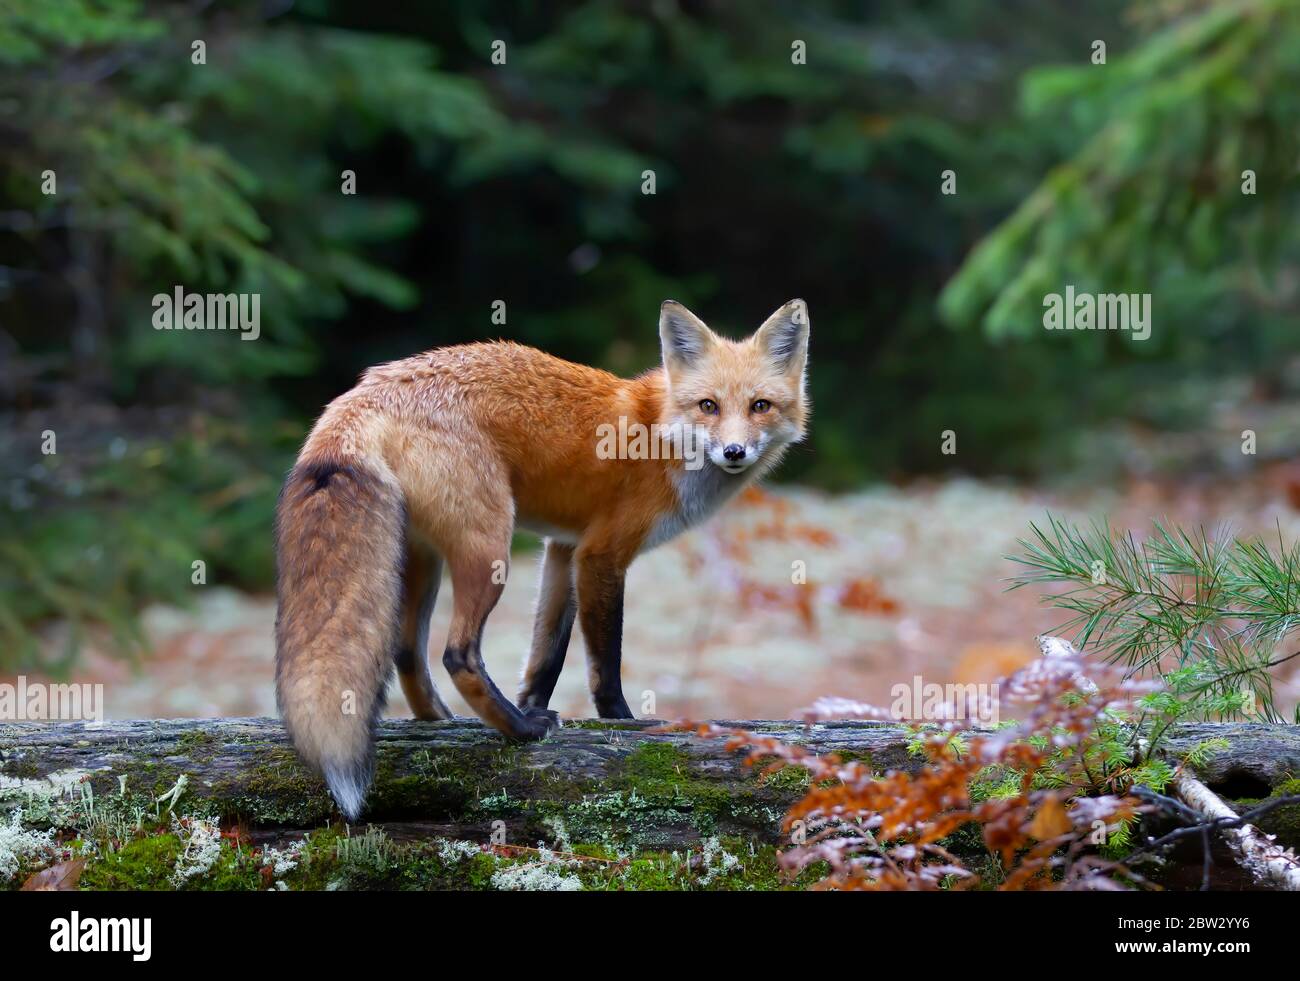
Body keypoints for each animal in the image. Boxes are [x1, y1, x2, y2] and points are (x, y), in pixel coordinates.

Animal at [274, 298, 810, 819]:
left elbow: (546, 655)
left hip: (424, 559)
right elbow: (604, 664)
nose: (735, 451)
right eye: (709, 406)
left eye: (760, 406)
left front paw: (531, 703)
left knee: (407, 654)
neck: (660, 435)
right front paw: (621, 724)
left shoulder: (564, 549)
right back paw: (519, 731)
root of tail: (363, 391)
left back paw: (448, 722)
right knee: (457, 654)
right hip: (490, 549)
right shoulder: (600, 555)